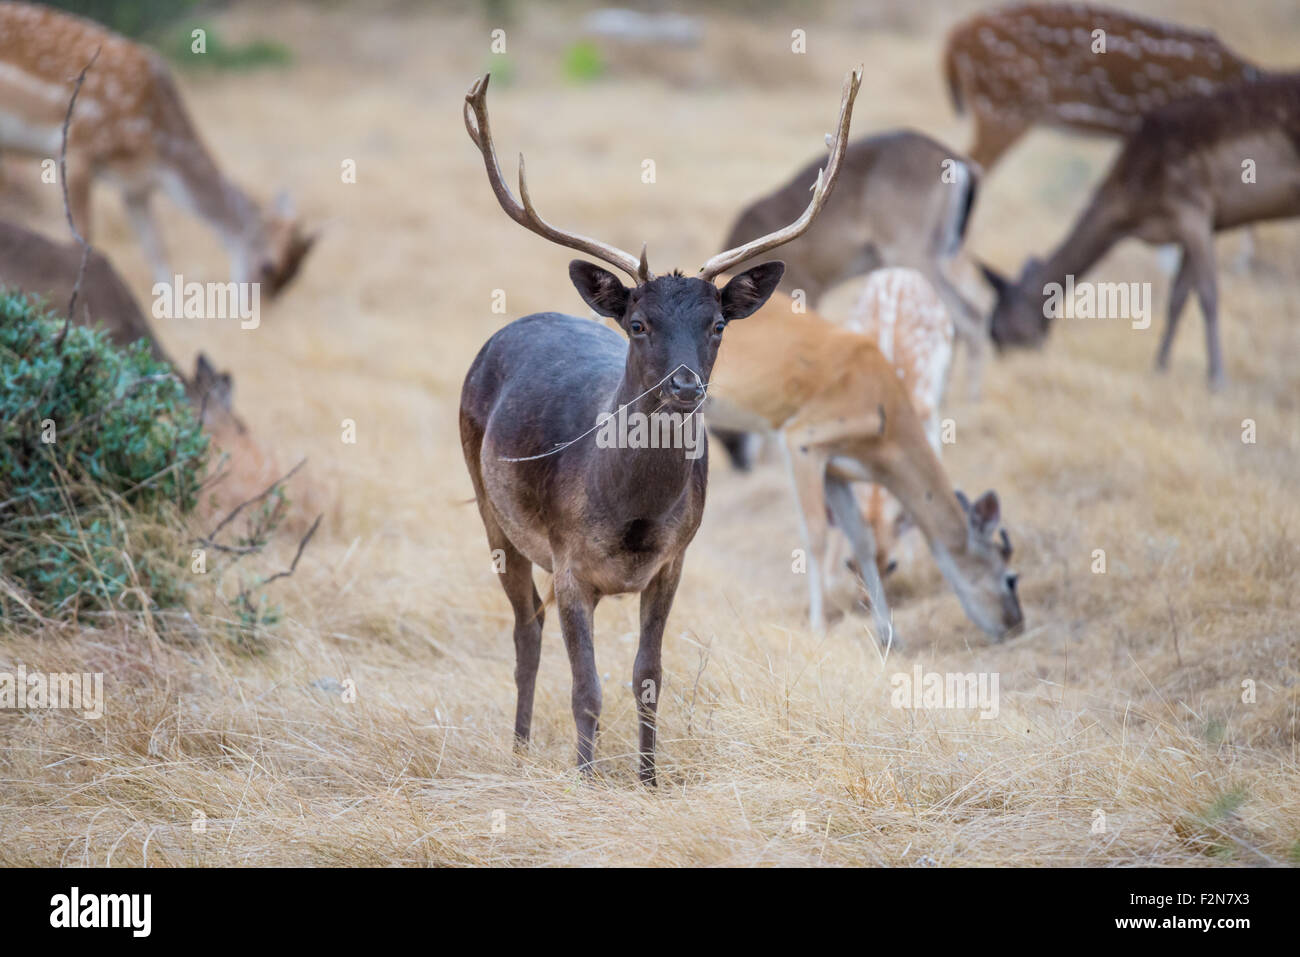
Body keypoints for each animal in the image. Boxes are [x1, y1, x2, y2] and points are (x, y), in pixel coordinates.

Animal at [0, 2, 315, 296]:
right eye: (267, 266)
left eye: (294, 275)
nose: (253, 309)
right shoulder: (78, 146)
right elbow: (82, 237)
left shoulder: (137, 188)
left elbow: (158, 251)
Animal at [459, 70, 861, 783]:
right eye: (639, 323)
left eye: (718, 323)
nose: (685, 385)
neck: (630, 513)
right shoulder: (569, 561)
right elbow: (586, 688)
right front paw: (586, 780)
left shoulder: (674, 560)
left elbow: (649, 676)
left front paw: (649, 781)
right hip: (488, 505)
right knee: (525, 627)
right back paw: (520, 748)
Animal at [712, 129, 984, 469]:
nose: (741, 465)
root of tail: (961, 163)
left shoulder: (805, 290)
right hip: (947, 249)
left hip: (910, 247)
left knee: (971, 316)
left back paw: (968, 409)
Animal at [980, 73, 1300, 390]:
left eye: (998, 326)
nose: (1001, 358)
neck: (1131, 211)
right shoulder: (1200, 225)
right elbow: (1177, 298)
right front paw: (1160, 368)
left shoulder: (1193, 208)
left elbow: (1207, 295)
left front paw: (1218, 380)